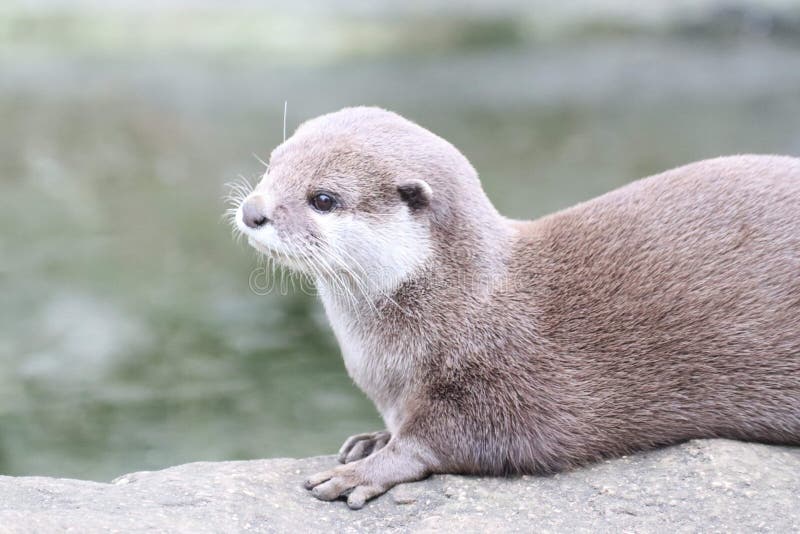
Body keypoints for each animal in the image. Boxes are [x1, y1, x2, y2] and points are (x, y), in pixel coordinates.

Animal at [231, 107, 800, 509]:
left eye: (323, 199)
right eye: (273, 165)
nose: (253, 210)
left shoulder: (515, 374)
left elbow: (459, 439)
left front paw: (368, 469)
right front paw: (371, 440)